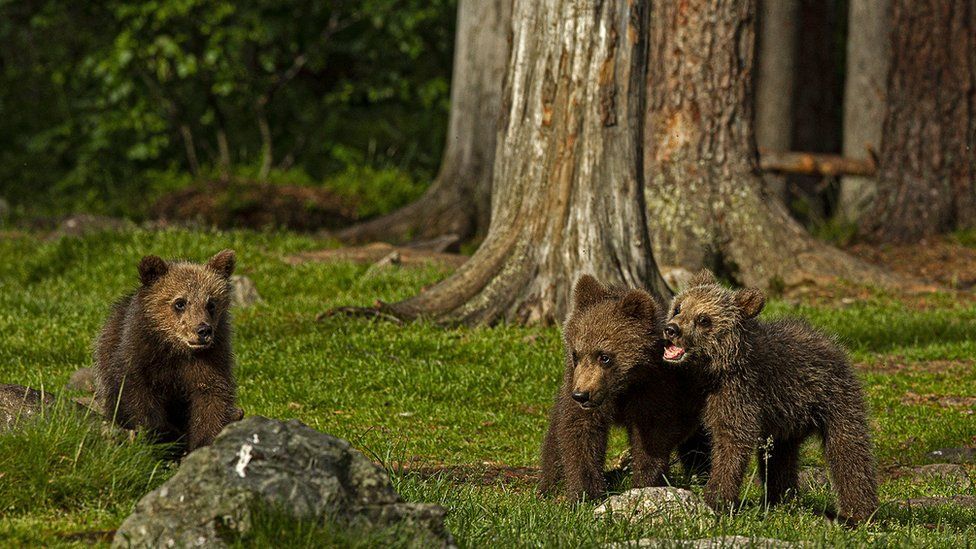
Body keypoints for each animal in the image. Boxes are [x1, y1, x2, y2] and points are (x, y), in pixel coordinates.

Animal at [94, 250, 242, 453]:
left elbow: (211, 399)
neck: (176, 350)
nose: (203, 330)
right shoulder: (139, 359)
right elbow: (138, 401)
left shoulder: (211, 360)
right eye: (180, 302)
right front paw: (161, 438)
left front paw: (202, 442)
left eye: (211, 303)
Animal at [539, 274, 710, 501]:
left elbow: (651, 438)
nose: (582, 395)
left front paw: (644, 483)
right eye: (576, 354)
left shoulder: (653, 388)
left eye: (605, 356)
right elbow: (580, 432)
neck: (621, 386)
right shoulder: (577, 385)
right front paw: (586, 492)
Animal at [662, 270, 878, 521]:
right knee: (781, 459)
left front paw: (716, 497)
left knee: (849, 450)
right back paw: (781, 500)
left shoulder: (740, 394)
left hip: (834, 398)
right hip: (787, 420)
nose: (672, 329)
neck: (709, 371)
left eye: (703, 319)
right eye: (679, 307)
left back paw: (858, 513)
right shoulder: (689, 393)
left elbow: (732, 442)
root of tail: (831, 341)